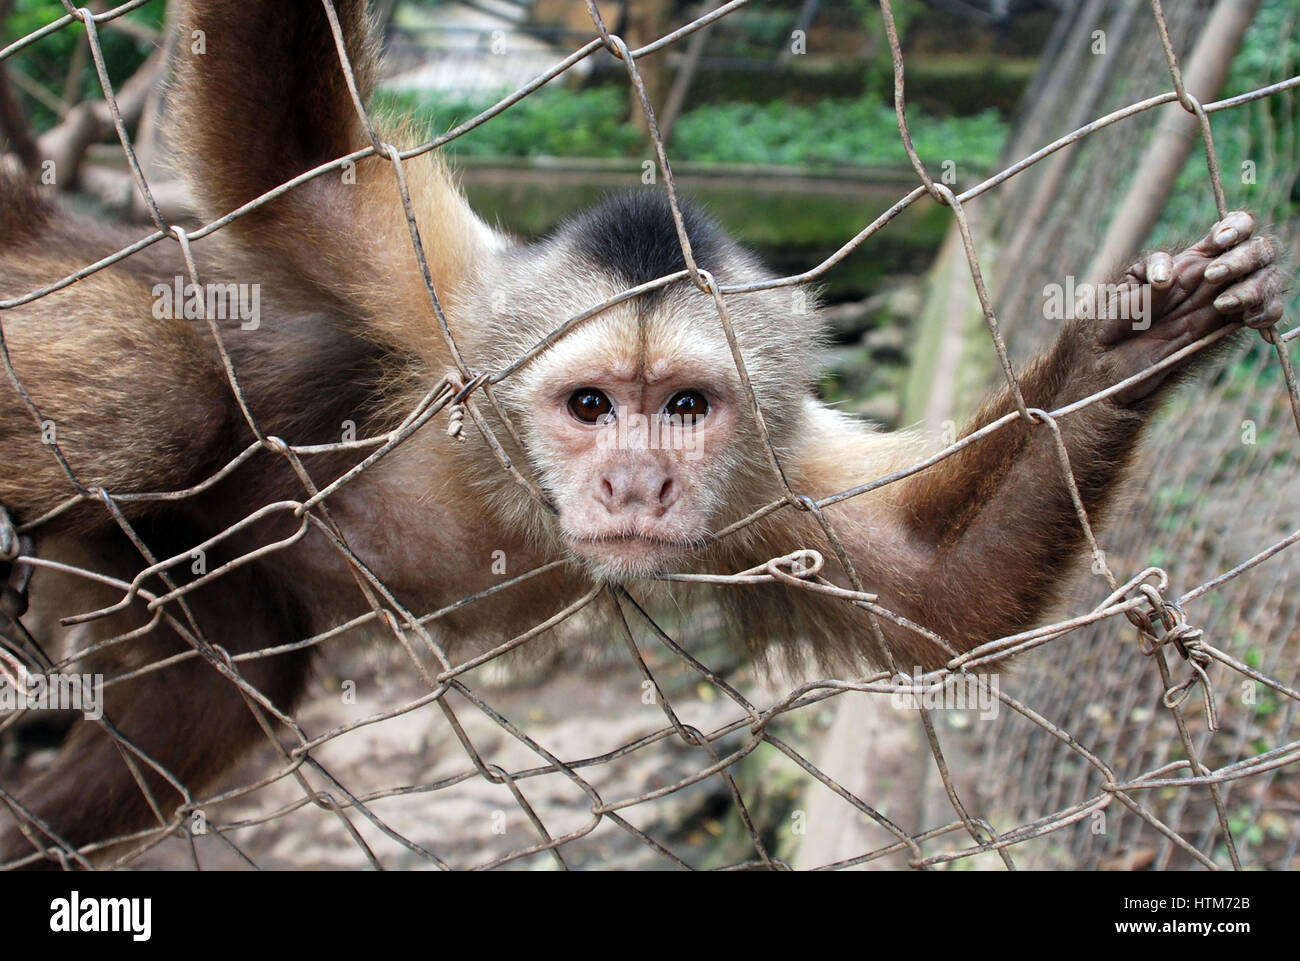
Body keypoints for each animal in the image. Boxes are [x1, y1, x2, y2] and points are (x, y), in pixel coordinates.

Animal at [0, 0, 1286, 869]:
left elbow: (940, 591)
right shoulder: (453, 308)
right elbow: (294, 161)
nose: (632, 484)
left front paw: (1133, 346)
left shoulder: (768, 483)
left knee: (236, 679)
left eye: (682, 409)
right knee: (172, 399)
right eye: (588, 407)